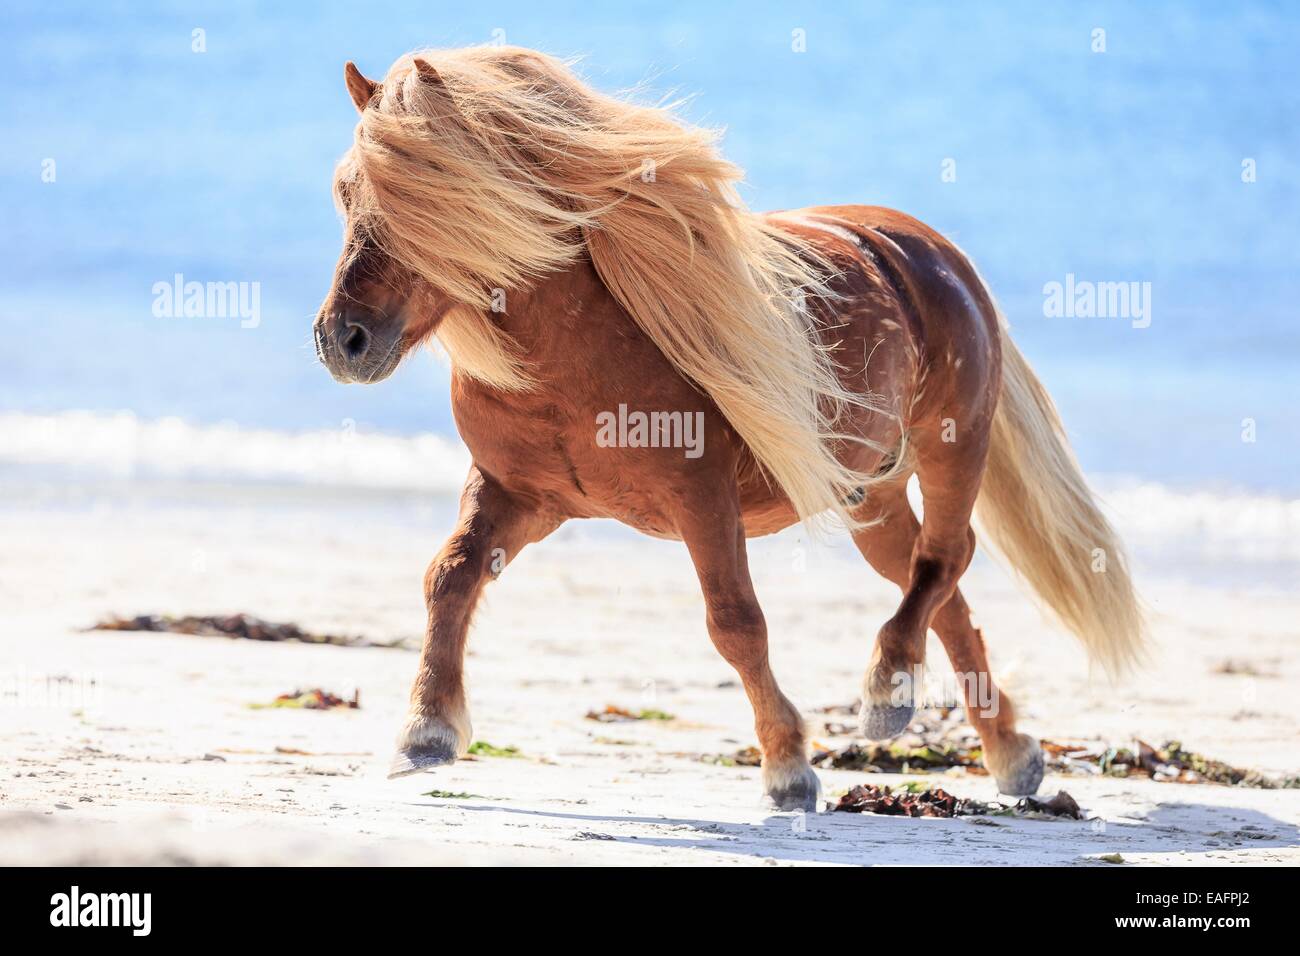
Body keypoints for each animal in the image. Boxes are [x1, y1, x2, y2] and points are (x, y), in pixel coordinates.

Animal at [313, 46, 1144, 811]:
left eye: (430, 195)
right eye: (349, 193)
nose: (340, 341)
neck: (571, 359)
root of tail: (934, 250)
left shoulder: (701, 498)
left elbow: (736, 624)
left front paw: (788, 769)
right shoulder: (518, 495)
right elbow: (448, 576)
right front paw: (425, 732)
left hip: (953, 445)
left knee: (944, 559)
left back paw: (887, 696)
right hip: (868, 498)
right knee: (937, 584)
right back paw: (1011, 754)